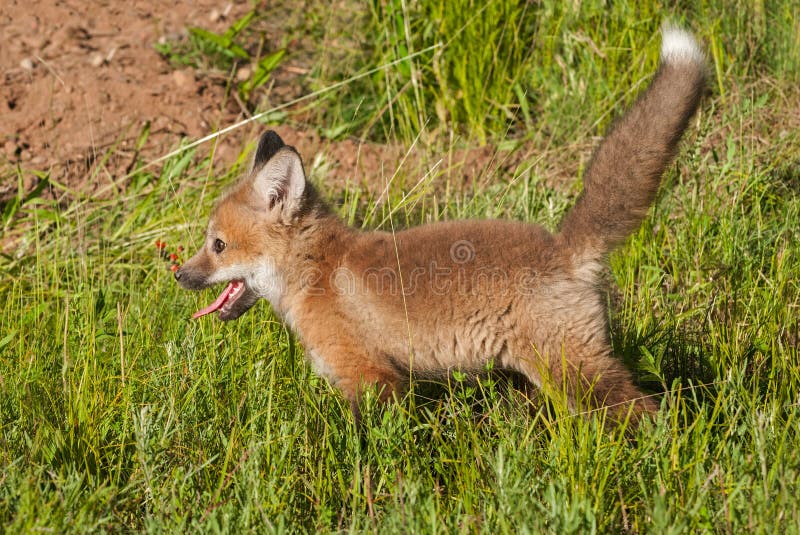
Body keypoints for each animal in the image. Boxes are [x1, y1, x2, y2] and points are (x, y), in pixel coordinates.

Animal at [175, 25, 706, 426]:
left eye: (217, 245)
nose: (178, 275)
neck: (316, 272)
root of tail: (562, 247)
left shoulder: (371, 377)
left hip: (575, 371)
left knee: (646, 412)